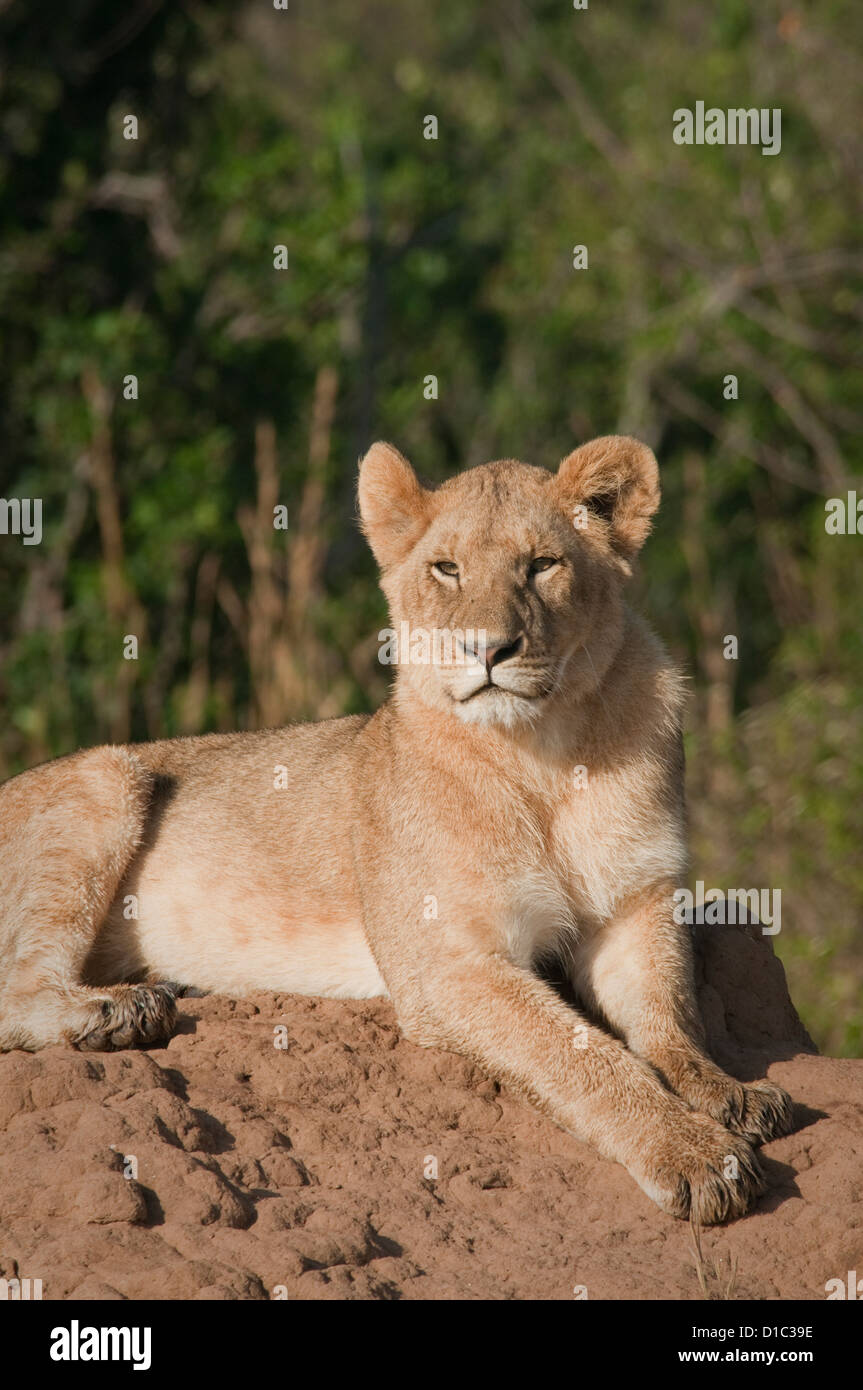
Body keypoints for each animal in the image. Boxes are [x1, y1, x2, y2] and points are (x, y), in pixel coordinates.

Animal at [0, 435, 794, 1223]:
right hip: (108, 774)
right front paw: (695, 1155)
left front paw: (729, 1095)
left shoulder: (634, 906)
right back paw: (117, 1010)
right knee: (16, 987)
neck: (543, 751)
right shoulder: (446, 964)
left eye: (542, 564)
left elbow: (668, 1020)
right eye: (447, 568)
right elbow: (578, 1054)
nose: (486, 648)